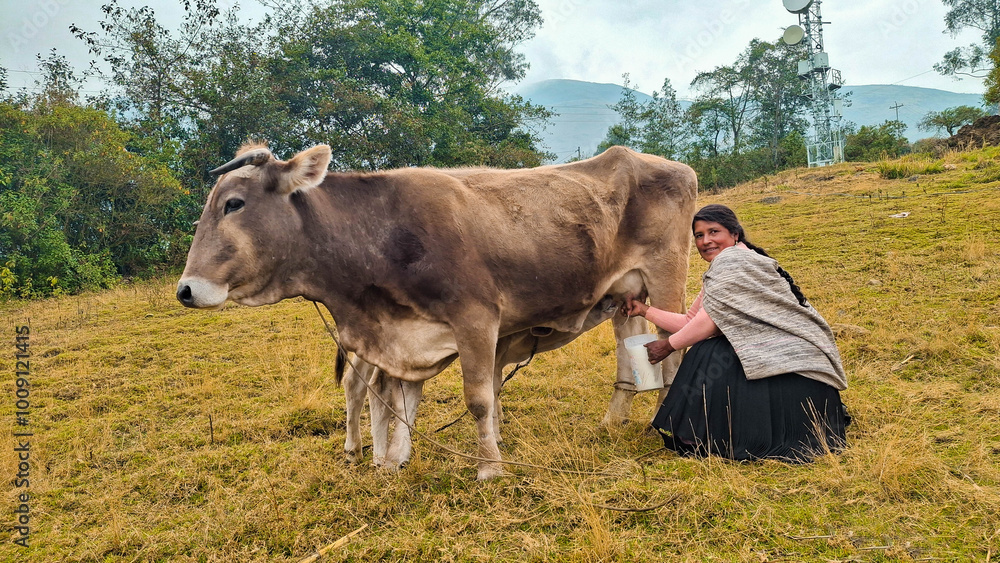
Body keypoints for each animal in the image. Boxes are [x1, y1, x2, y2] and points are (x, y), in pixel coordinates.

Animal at [176, 143, 697, 480]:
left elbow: (479, 398)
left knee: (672, 351)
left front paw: (490, 468)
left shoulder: (475, 320)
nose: (185, 289)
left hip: (666, 277)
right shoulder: (401, 338)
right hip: (625, 295)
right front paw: (390, 462)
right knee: (629, 354)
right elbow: (396, 402)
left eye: (234, 203)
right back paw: (614, 420)